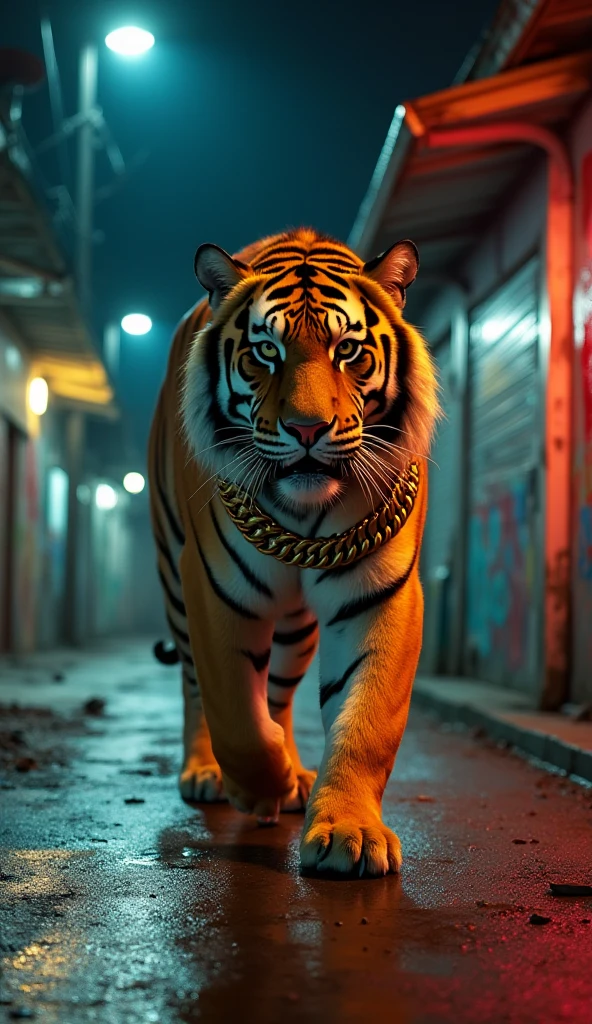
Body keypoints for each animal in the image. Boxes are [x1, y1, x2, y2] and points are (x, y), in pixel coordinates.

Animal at [148, 227, 438, 877]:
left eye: (348, 351)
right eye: (265, 352)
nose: (307, 429)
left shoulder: (381, 594)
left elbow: (366, 721)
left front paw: (349, 832)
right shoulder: (215, 588)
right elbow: (235, 714)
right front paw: (261, 785)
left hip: (297, 629)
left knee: (277, 694)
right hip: (175, 582)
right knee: (194, 686)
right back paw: (209, 773)